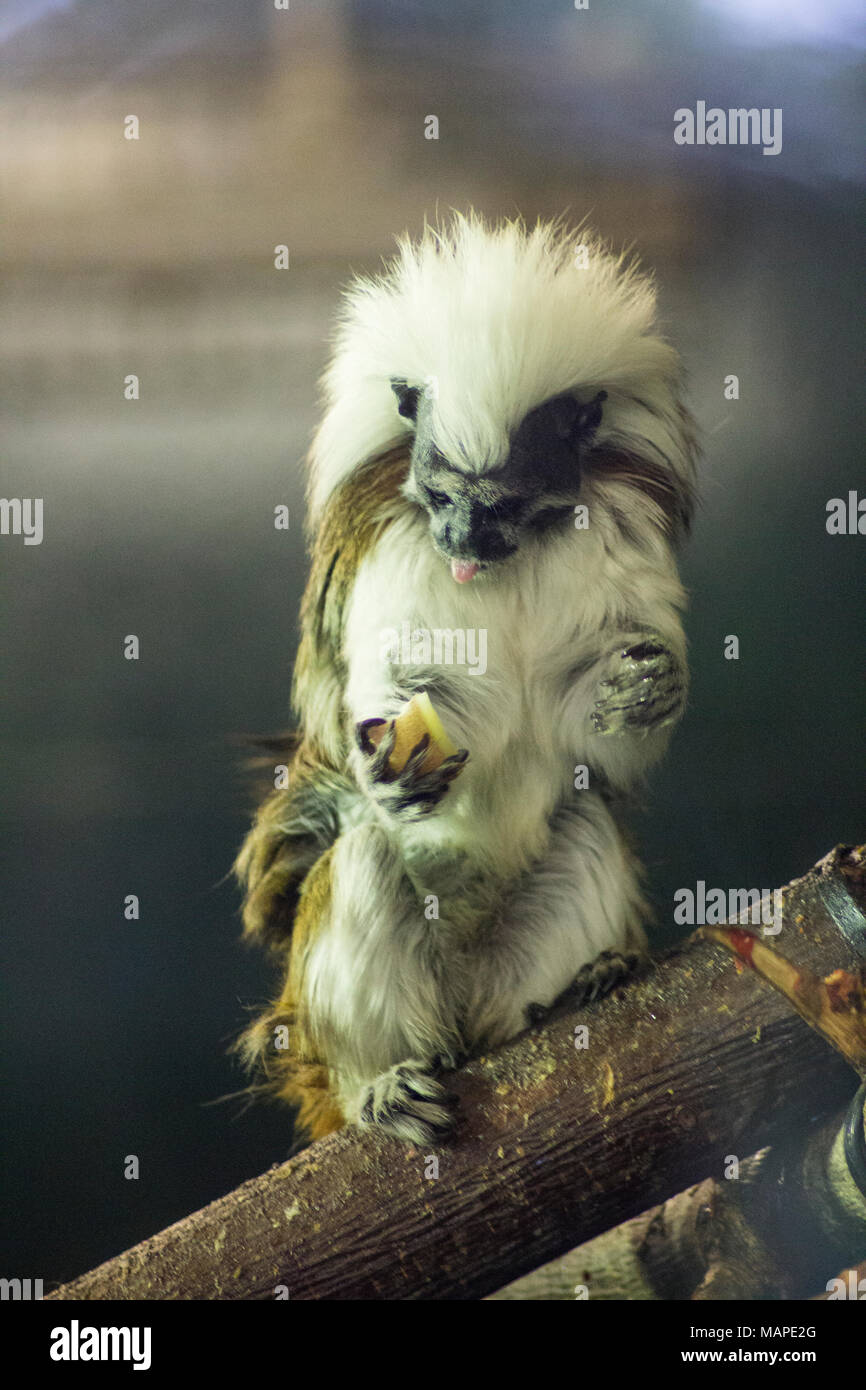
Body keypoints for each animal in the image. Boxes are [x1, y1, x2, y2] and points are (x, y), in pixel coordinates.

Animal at [233, 213, 698, 1147]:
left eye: (504, 506)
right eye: (443, 497)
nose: (461, 540)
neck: (506, 565)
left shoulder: (616, 531)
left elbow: (594, 749)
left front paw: (645, 696)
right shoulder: (395, 549)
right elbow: (409, 693)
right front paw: (388, 770)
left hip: (503, 978)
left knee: (585, 822)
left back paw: (583, 988)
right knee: (362, 855)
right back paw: (378, 1084)